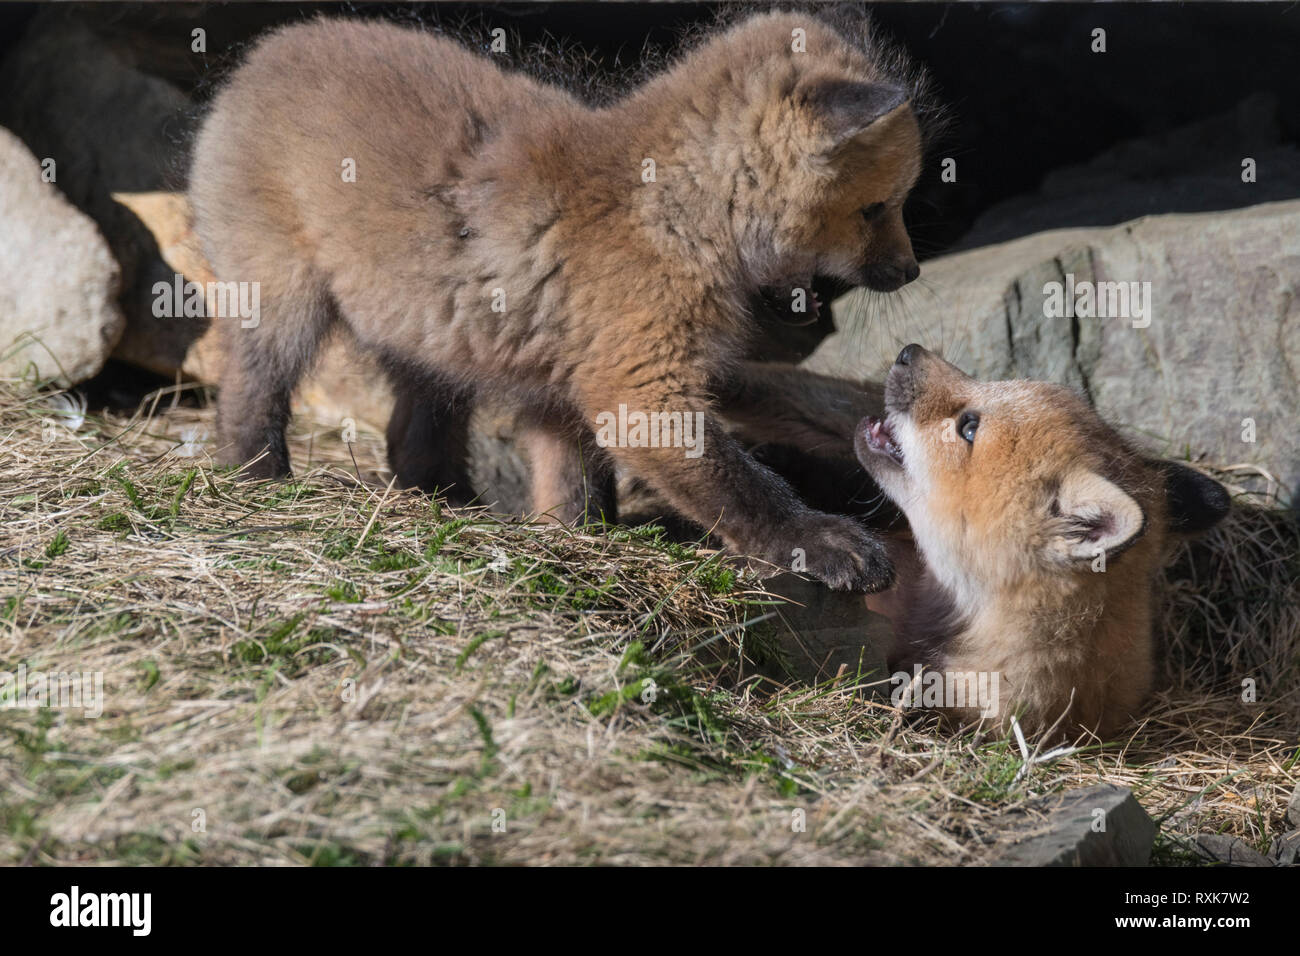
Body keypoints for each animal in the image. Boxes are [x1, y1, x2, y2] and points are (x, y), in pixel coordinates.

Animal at [187, 10, 928, 592]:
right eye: (878, 209)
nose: (912, 269)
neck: (676, 213)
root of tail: (271, 46)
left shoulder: (566, 386)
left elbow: (573, 490)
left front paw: (577, 540)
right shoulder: (638, 386)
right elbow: (744, 486)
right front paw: (818, 542)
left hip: (429, 339)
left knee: (408, 439)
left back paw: (450, 504)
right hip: (284, 303)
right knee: (248, 388)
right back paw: (258, 478)